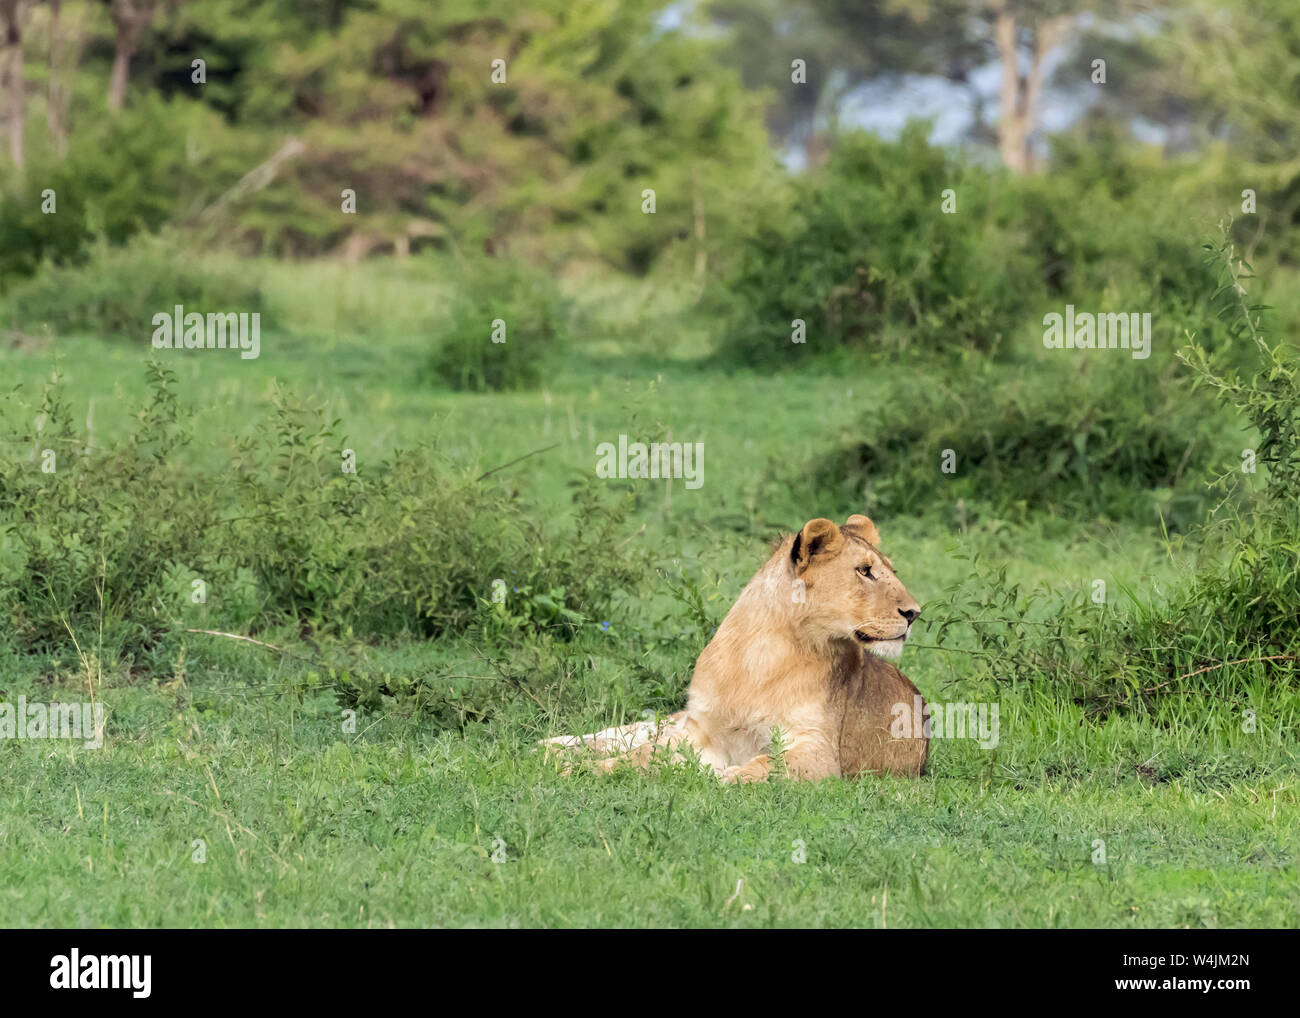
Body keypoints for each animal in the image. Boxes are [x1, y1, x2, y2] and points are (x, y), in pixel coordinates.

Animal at [543, 513, 927, 783]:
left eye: (890, 570)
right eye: (864, 571)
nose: (914, 613)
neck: (765, 653)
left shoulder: (819, 749)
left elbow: (769, 765)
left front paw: (724, 777)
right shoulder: (701, 730)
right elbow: (640, 756)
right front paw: (583, 770)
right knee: (633, 731)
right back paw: (556, 747)